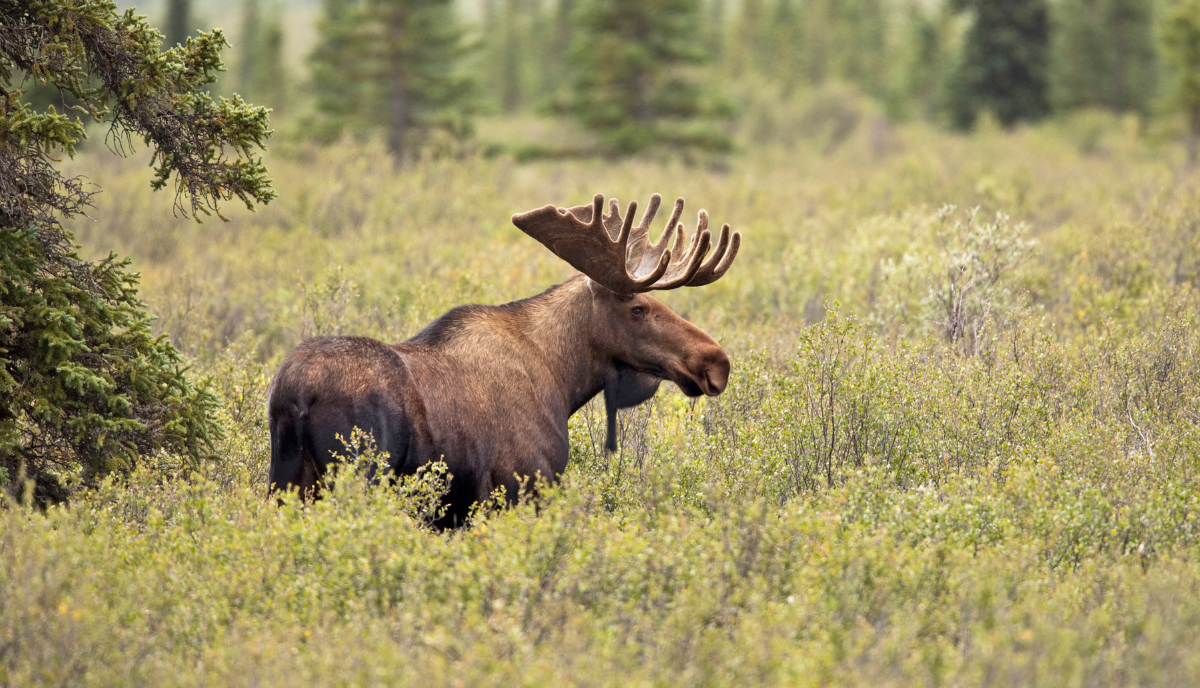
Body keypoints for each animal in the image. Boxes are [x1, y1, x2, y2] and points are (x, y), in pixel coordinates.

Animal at [267, 192, 741, 525]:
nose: (715, 361)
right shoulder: (522, 486)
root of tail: (295, 395)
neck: (563, 380)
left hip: (285, 482)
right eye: (638, 308)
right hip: (356, 476)